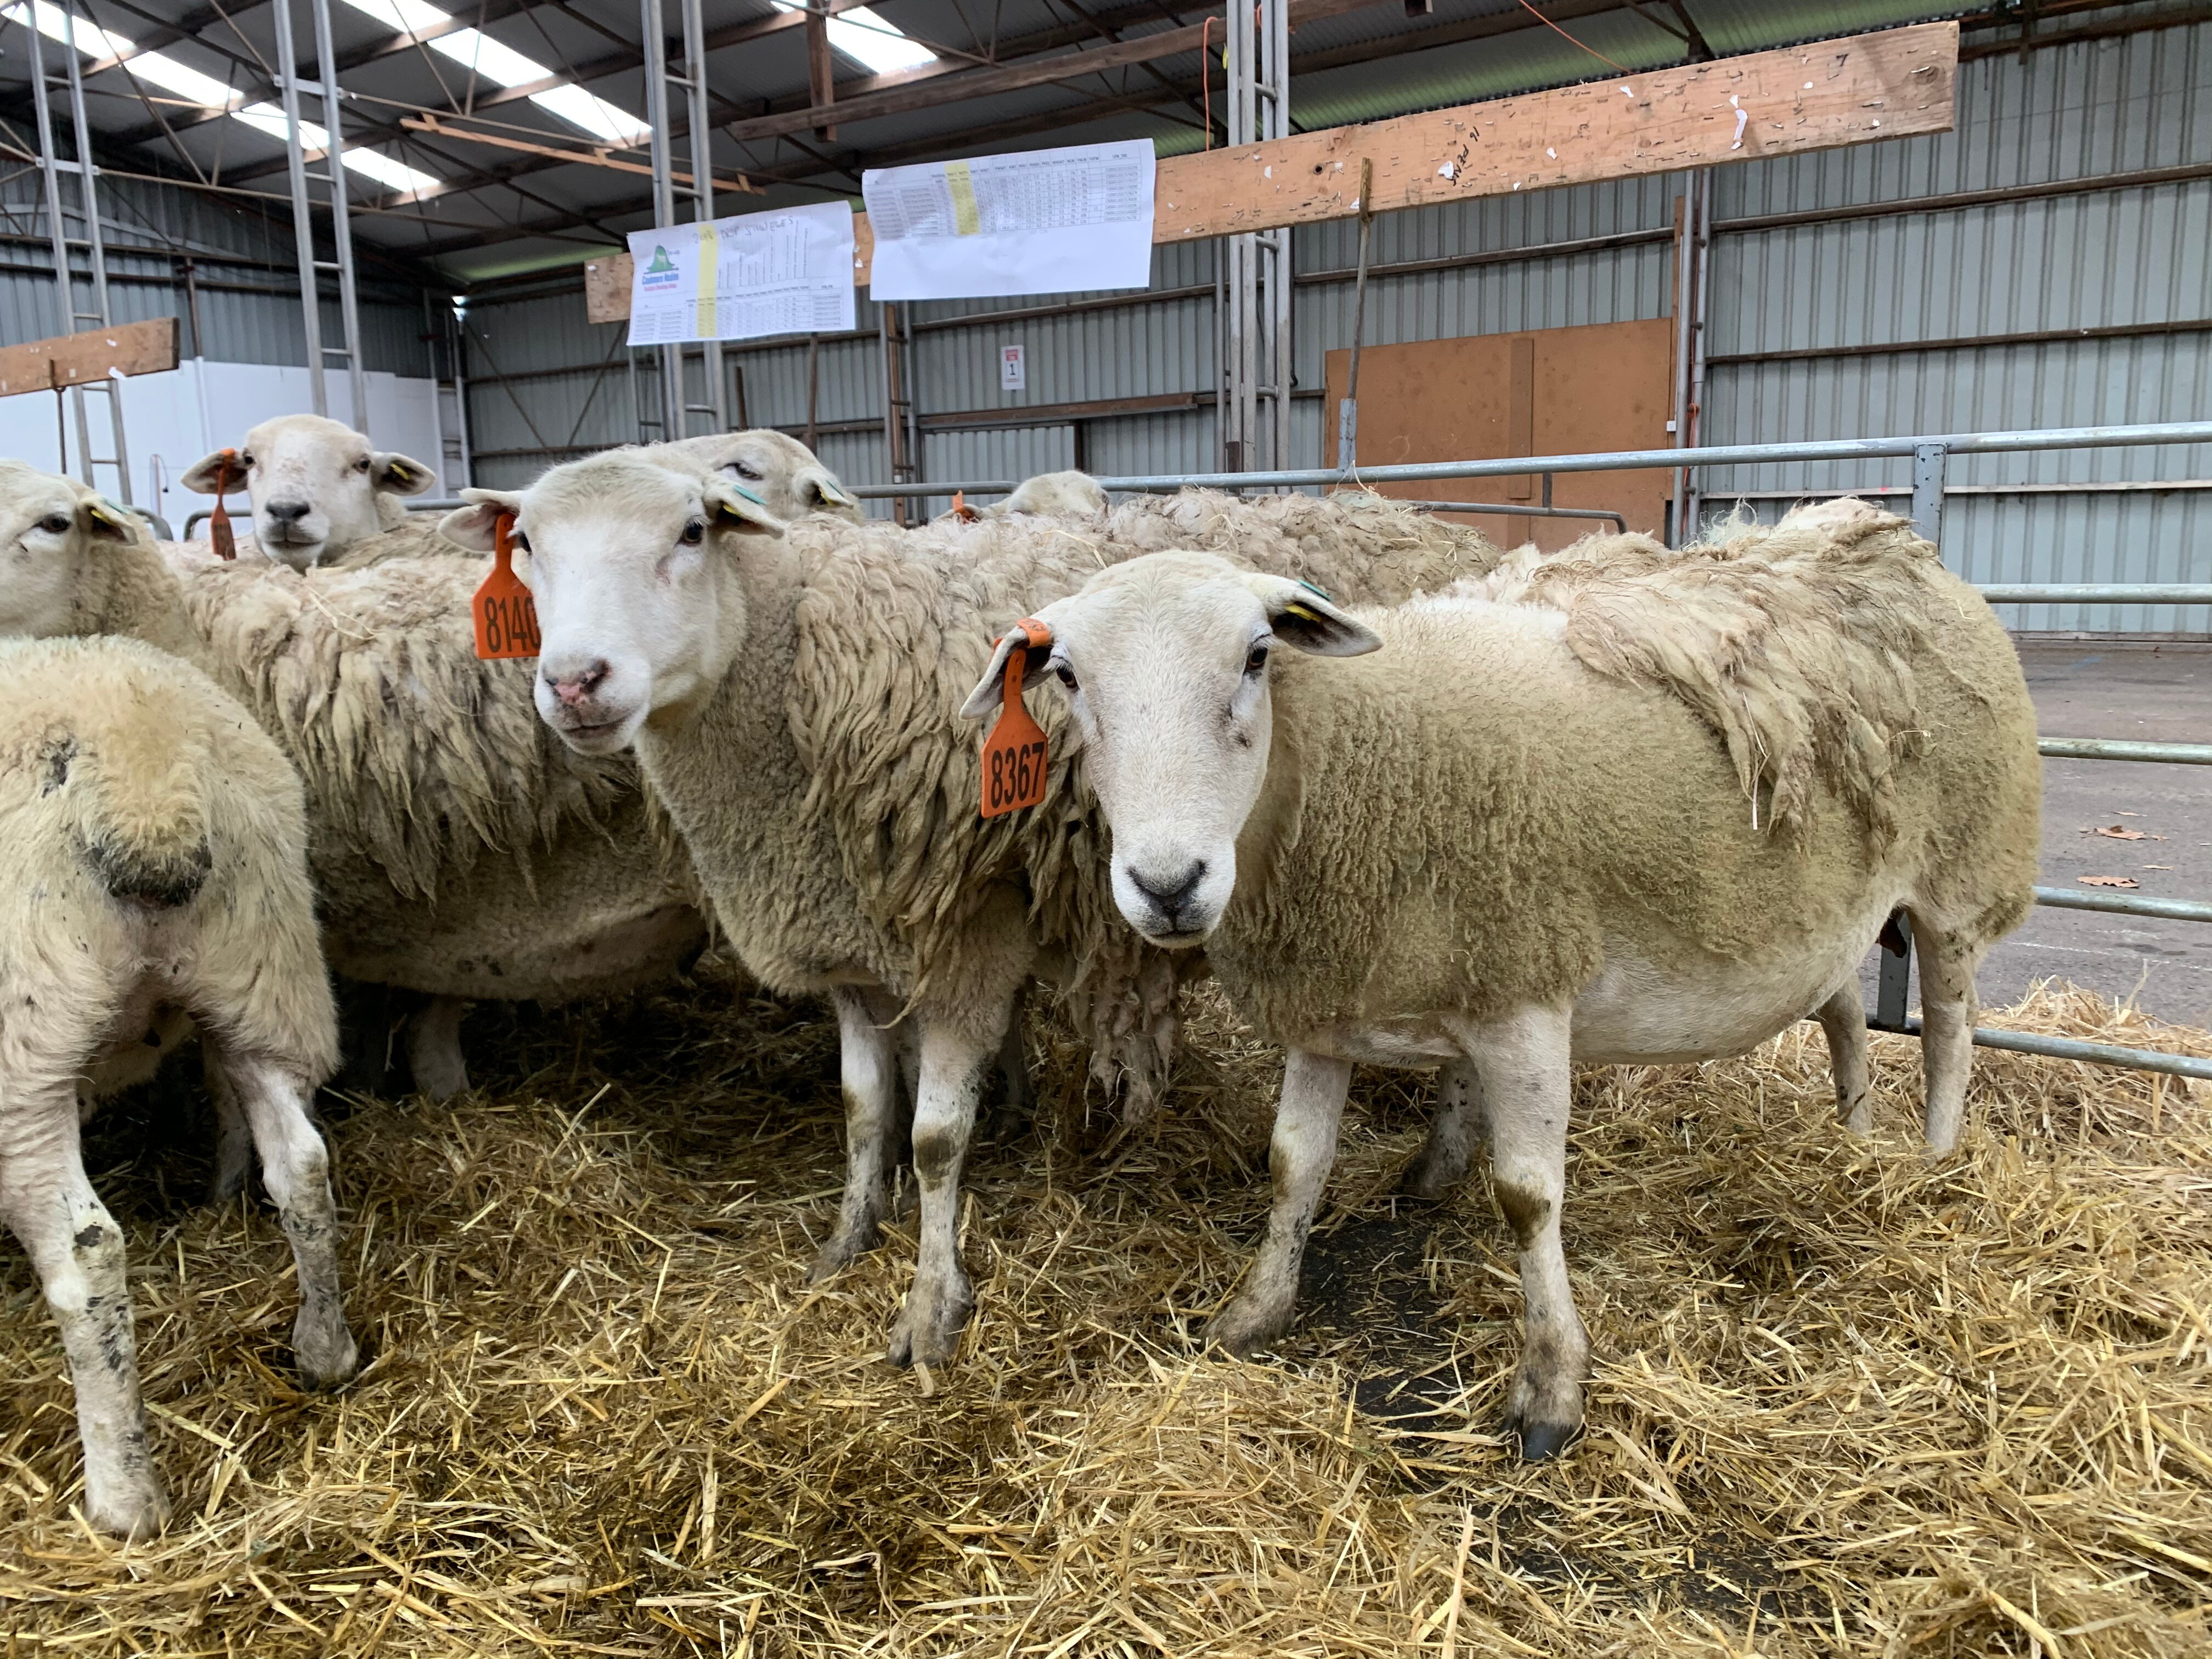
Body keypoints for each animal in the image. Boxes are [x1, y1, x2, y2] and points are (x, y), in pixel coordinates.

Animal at [1, 633, 359, 1537]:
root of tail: (146, 787)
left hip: (23, 1047)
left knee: (88, 1251)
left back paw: (125, 1501)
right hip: (263, 970)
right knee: (302, 1166)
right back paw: (324, 1351)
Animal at [442, 452, 1507, 1370]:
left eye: (692, 529)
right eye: (527, 543)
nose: (574, 683)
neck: (796, 676)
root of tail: (1416, 516)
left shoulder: (969, 938)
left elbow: (933, 1139)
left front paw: (929, 1306)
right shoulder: (852, 943)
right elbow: (862, 1108)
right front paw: (845, 1241)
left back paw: (1441, 1158)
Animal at [958, 510, 2041, 1455]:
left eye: (1259, 656)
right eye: (1066, 674)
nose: (1169, 885)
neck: (1348, 769)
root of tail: (1901, 549)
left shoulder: (1523, 992)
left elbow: (1527, 1197)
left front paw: (1552, 1388)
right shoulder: (1328, 1000)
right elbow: (1293, 1164)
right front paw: (1252, 1311)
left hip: (1961, 871)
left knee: (1950, 1027)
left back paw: (1933, 1162)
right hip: (1821, 903)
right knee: (1845, 1012)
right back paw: (1852, 1135)